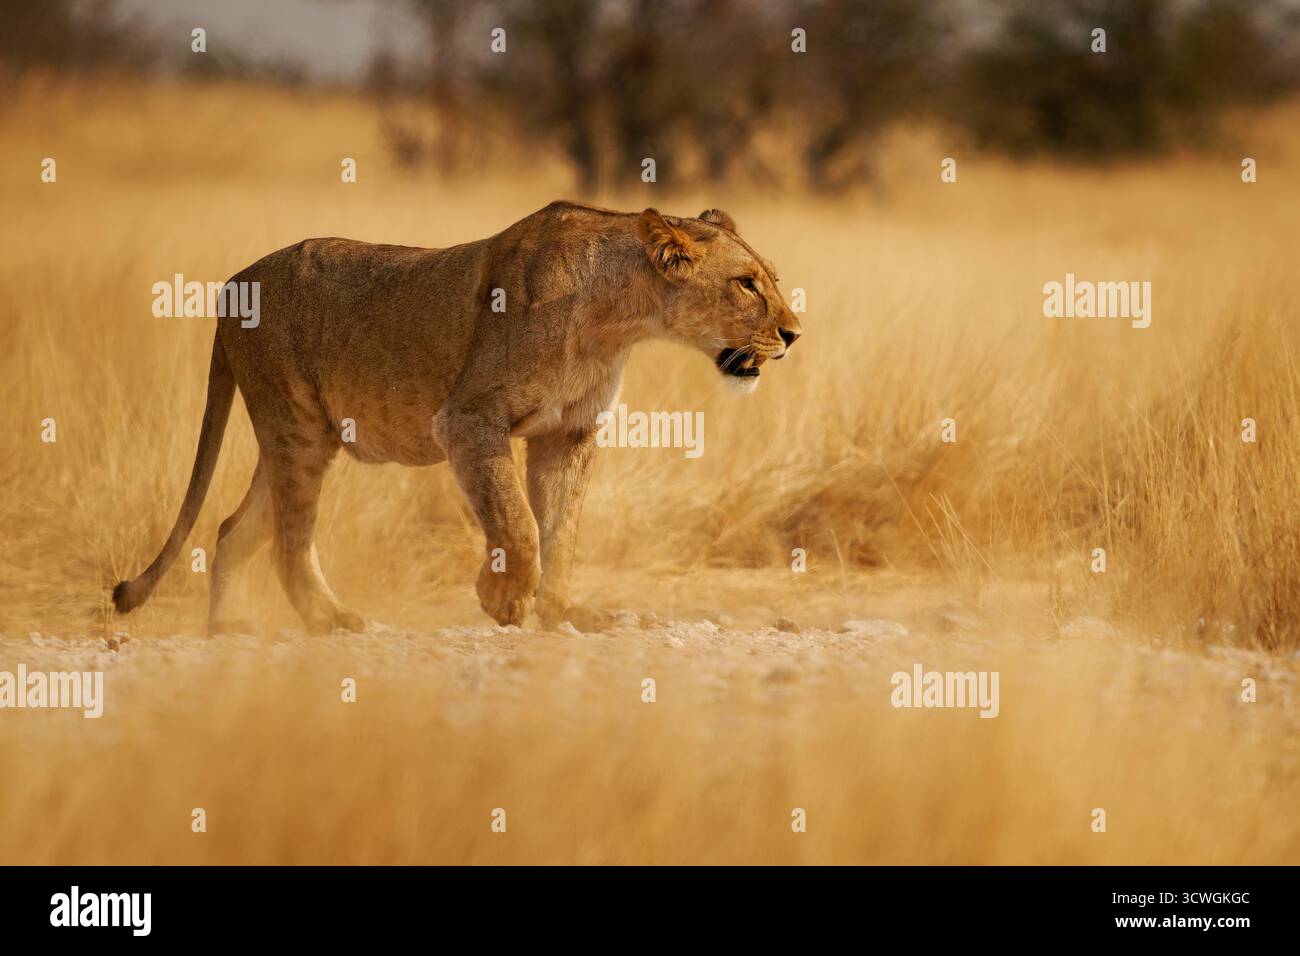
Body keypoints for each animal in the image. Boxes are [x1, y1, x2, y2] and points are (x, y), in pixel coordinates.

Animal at [112, 201, 802, 634]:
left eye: (771, 278)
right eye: (746, 284)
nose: (794, 334)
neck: (617, 318)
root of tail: (233, 286)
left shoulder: (568, 435)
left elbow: (560, 532)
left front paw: (562, 613)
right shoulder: (469, 419)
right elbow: (519, 523)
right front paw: (502, 599)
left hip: (298, 436)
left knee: (234, 528)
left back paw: (228, 627)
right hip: (298, 430)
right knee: (288, 541)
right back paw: (330, 620)